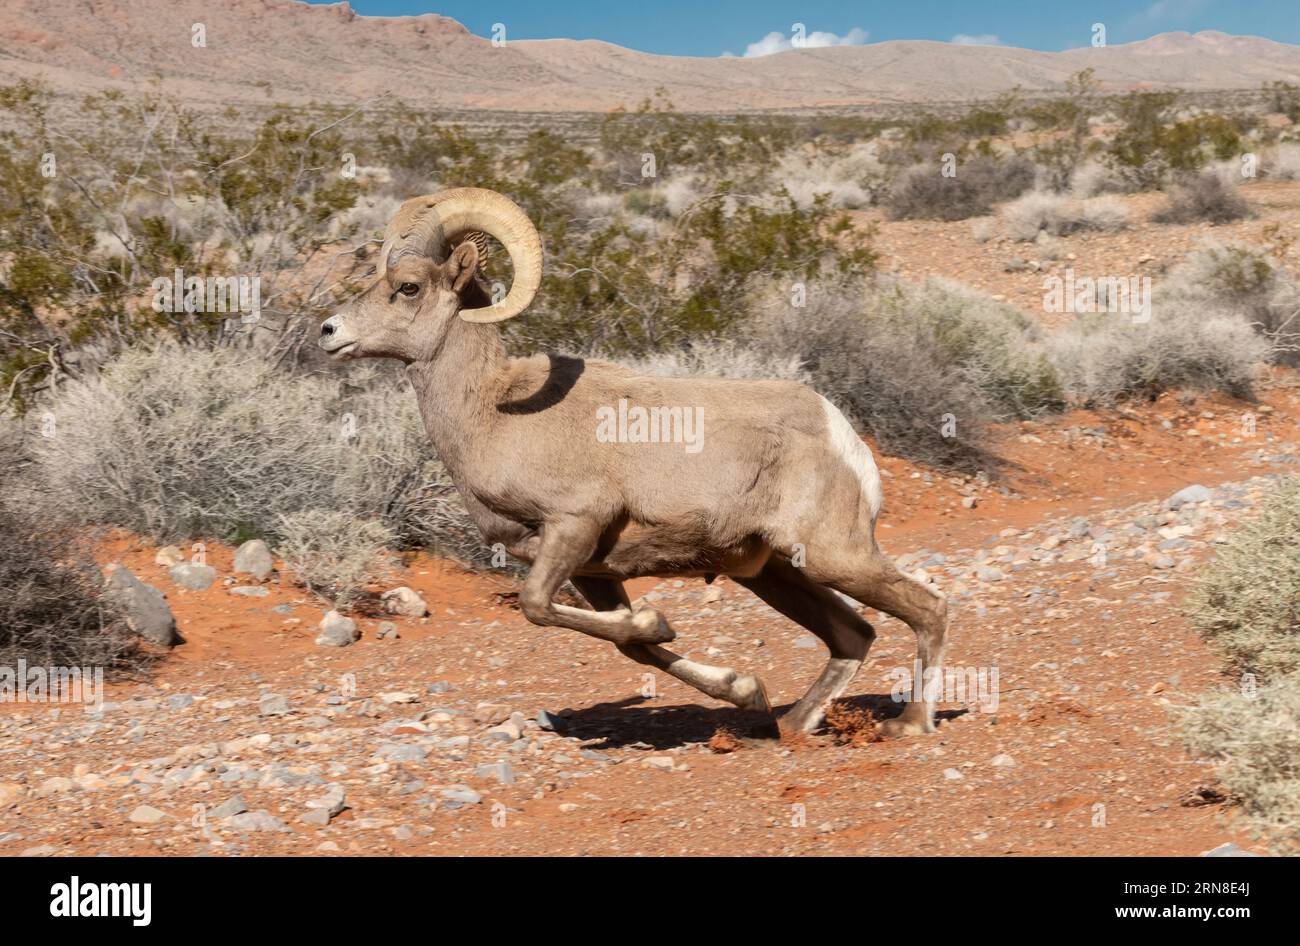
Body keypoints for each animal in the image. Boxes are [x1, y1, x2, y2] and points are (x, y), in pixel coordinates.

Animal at [318, 188, 948, 737]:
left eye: (407, 286)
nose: (329, 332)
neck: (494, 414)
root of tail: (841, 432)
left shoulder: (574, 527)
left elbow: (541, 608)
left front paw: (658, 620)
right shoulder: (594, 573)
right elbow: (630, 646)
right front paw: (745, 690)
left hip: (832, 557)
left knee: (929, 608)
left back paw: (910, 725)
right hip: (777, 573)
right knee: (853, 635)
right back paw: (789, 724)